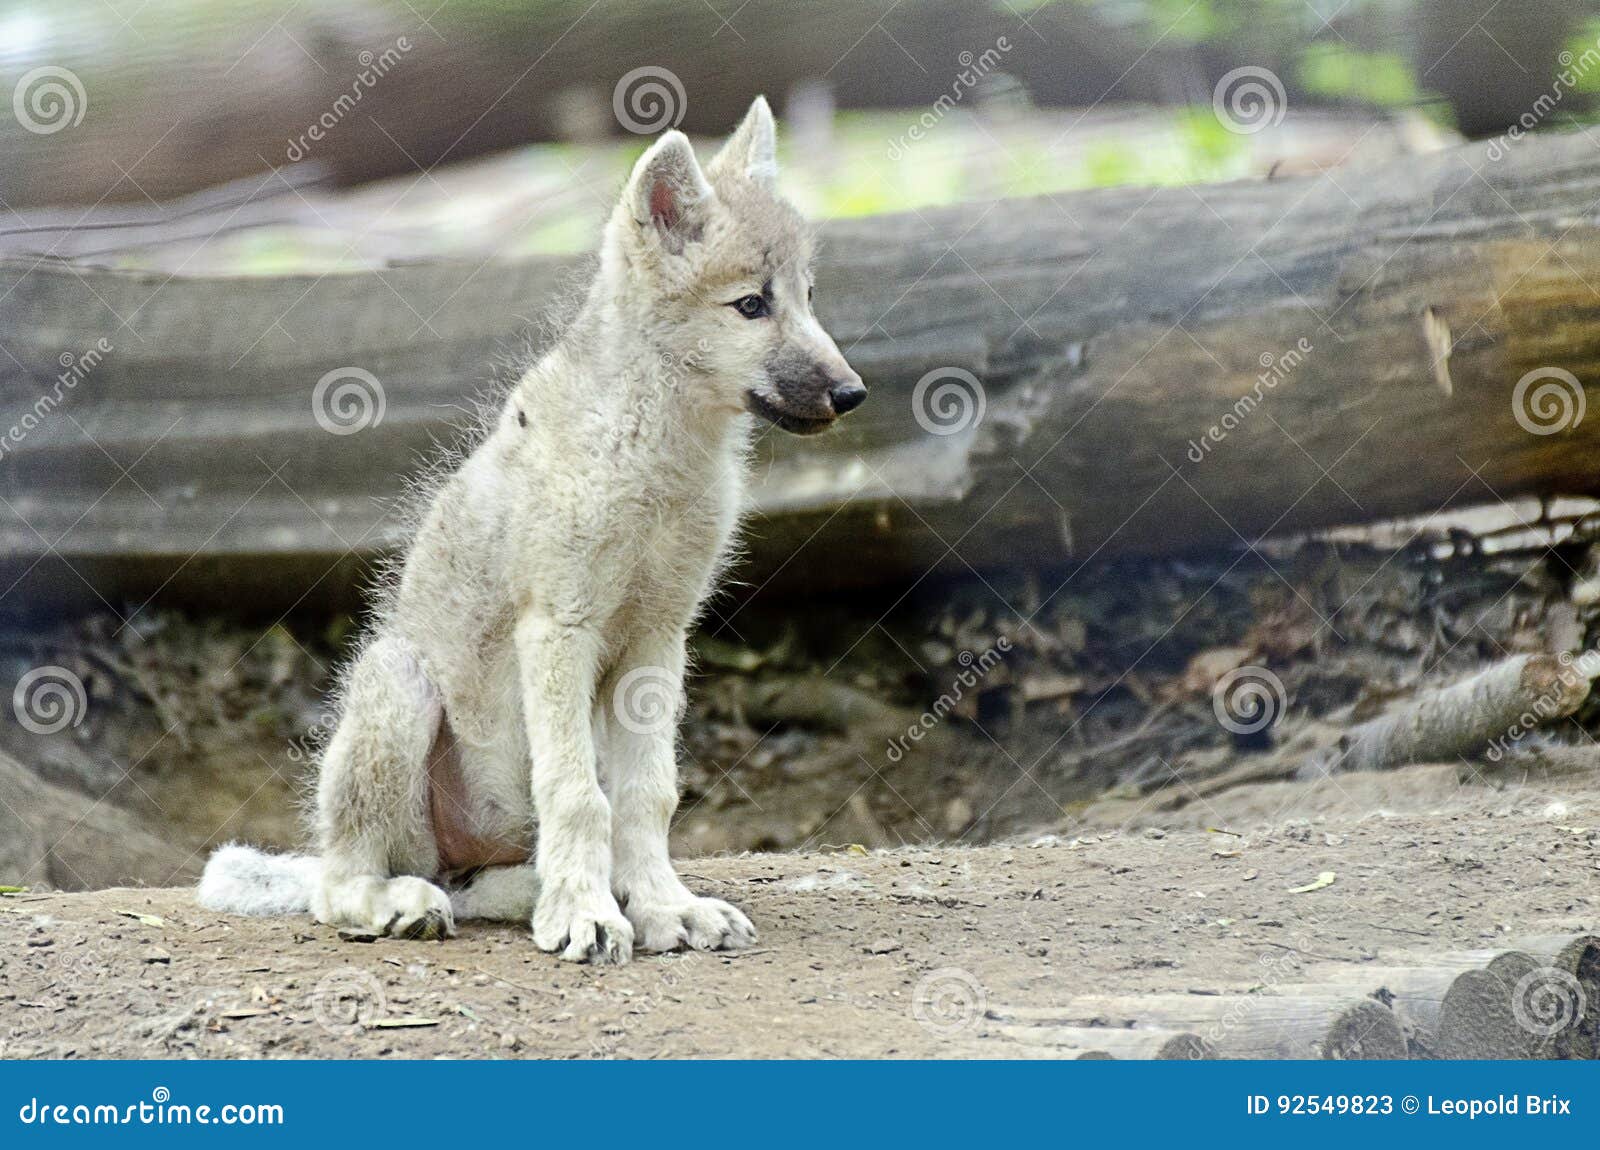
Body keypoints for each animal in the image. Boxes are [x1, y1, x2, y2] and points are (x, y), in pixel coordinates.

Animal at [199, 97, 865, 964]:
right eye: (752, 305)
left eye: (809, 297)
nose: (853, 393)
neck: (660, 458)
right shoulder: (560, 628)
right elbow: (577, 794)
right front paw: (587, 916)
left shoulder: (659, 639)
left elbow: (647, 795)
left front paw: (662, 908)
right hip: (398, 684)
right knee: (339, 884)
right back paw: (405, 904)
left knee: (479, 884)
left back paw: (544, 896)